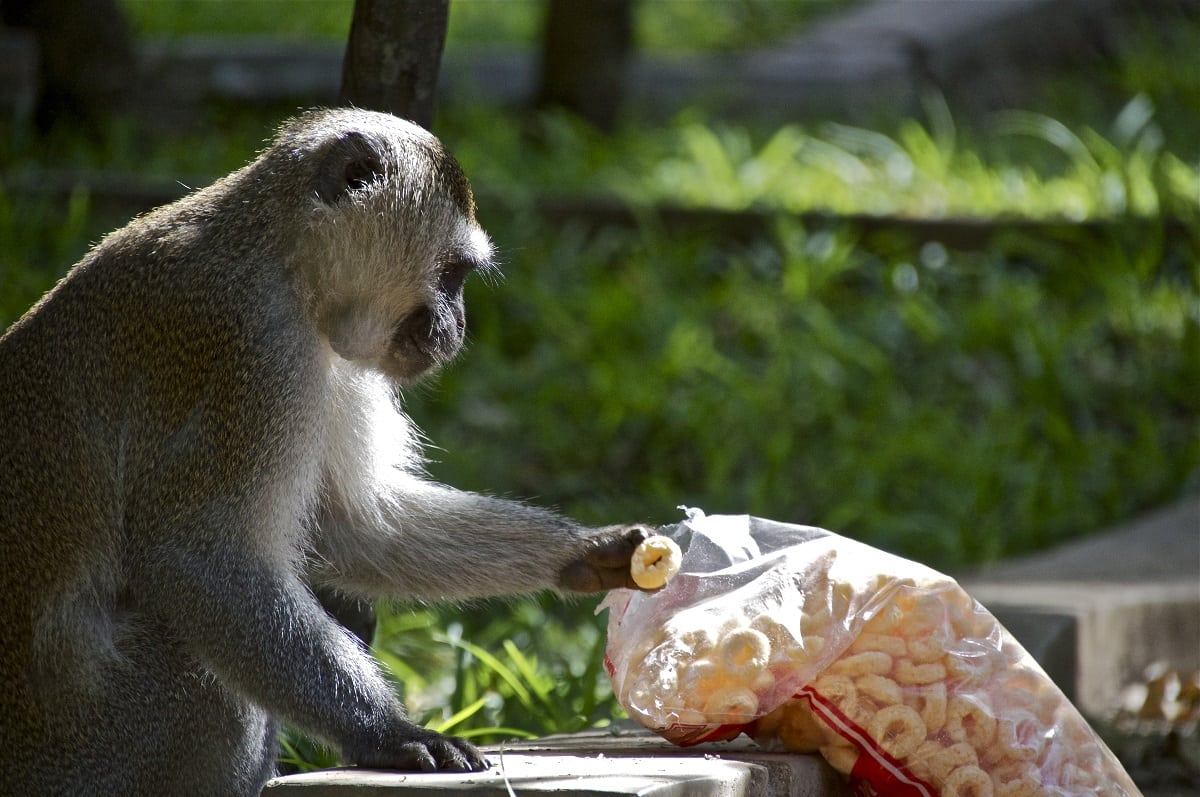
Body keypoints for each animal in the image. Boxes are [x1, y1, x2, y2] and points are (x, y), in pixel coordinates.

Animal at [0, 108, 652, 796]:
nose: (457, 327)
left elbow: (354, 526)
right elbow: (196, 558)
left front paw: (588, 553)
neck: (284, 259)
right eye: (452, 274)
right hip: (98, 746)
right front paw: (387, 734)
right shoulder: (252, 348)